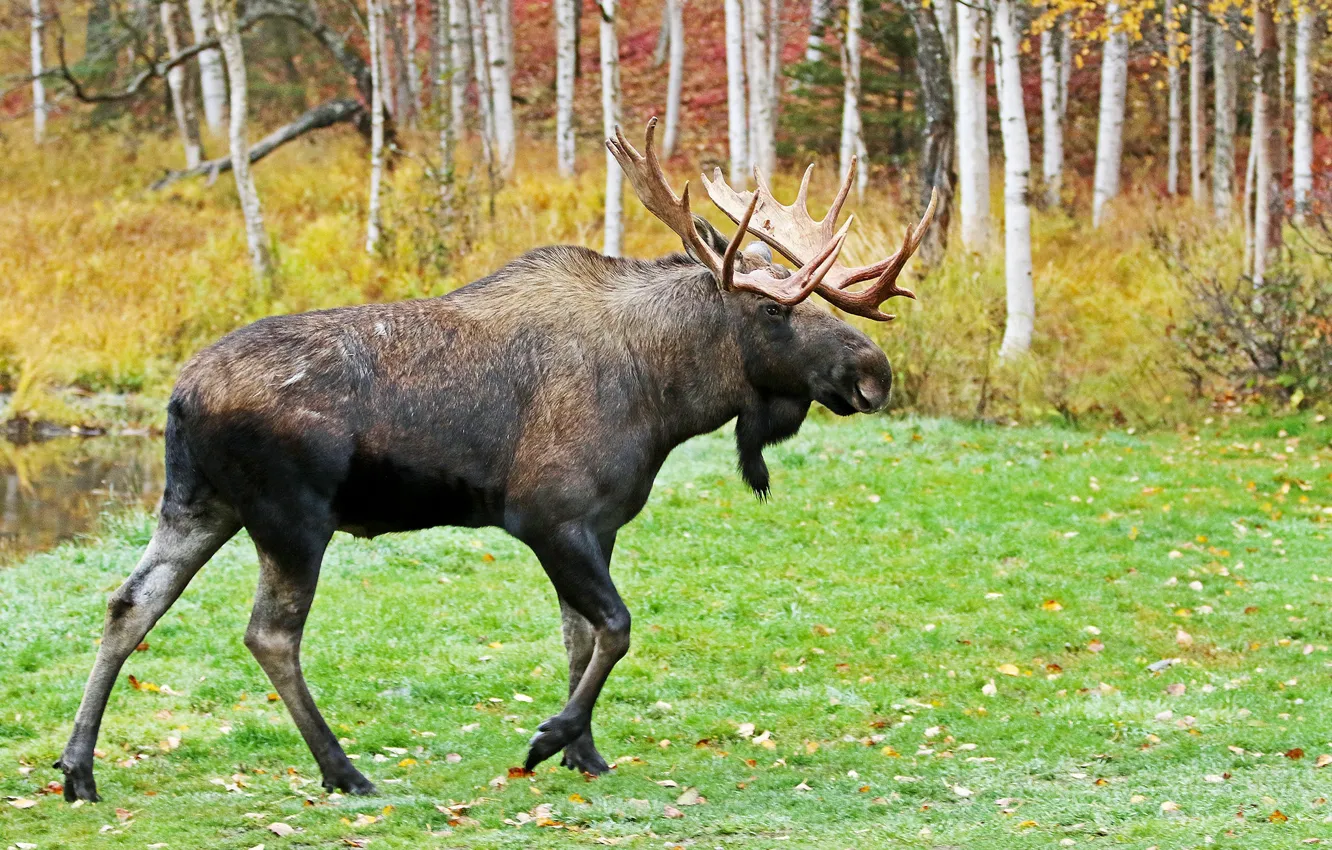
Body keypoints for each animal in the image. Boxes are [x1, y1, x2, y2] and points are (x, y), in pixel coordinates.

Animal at [55, 120, 936, 802]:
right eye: (773, 311)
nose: (874, 372)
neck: (667, 396)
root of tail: (178, 395)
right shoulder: (546, 515)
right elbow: (616, 627)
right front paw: (550, 738)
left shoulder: (598, 525)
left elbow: (580, 635)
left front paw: (586, 752)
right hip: (291, 517)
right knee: (269, 635)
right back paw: (344, 771)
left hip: (199, 503)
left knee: (129, 605)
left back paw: (78, 769)